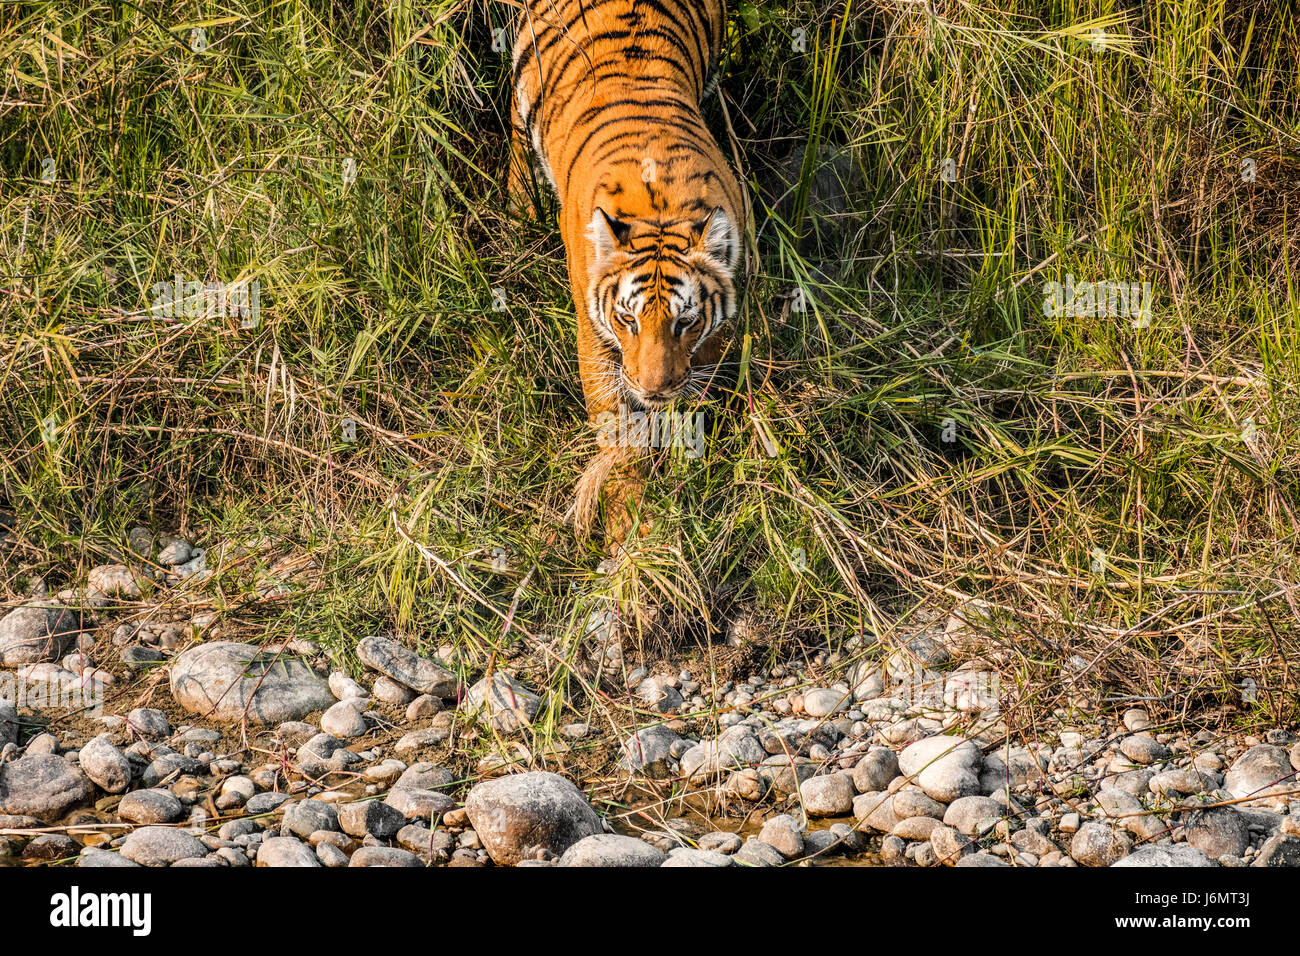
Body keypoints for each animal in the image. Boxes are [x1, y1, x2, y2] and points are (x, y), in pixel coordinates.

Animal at [508, 0, 747, 546]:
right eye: (627, 320)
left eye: (687, 321)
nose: (653, 388)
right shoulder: (594, 335)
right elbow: (616, 431)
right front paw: (627, 526)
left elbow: (696, 397)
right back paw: (516, 206)